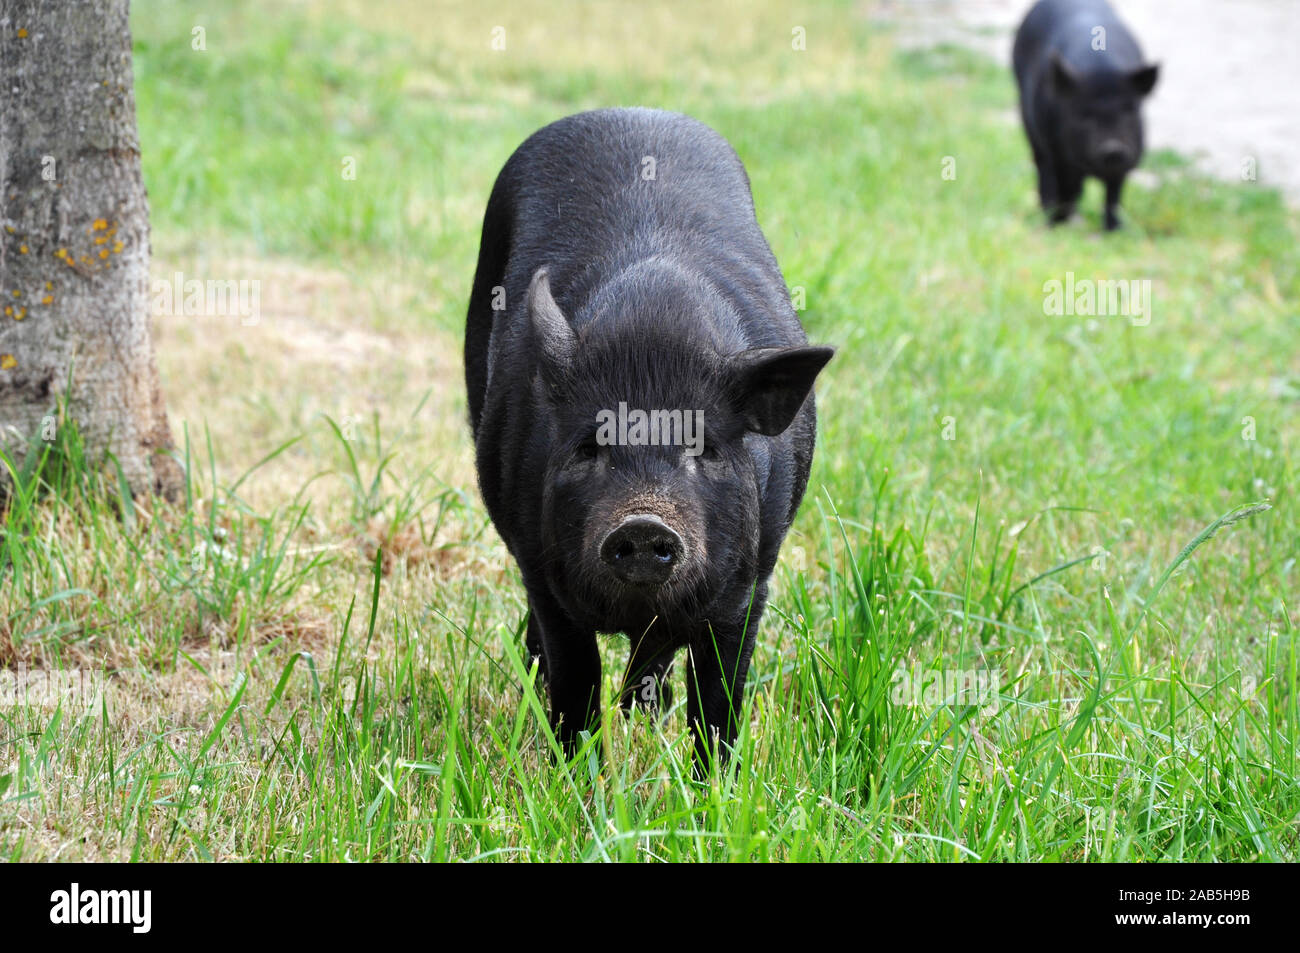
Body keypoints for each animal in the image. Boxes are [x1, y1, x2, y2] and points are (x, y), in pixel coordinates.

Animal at [464, 108, 832, 771]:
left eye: (704, 447)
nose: (641, 523)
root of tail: (630, 111)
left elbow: (718, 699)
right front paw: (573, 779)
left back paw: (644, 708)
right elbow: (576, 682)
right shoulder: (544, 571)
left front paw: (713, 785)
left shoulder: (750, 582)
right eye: (590, 446)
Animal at [1013, 0, 1159, 230]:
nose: (1113, 148)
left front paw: (1114, 230)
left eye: (1130, 109)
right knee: (1042, 166)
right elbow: (1057, 184)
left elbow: (1113, 196)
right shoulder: (1054, 152)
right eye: (1083, 113)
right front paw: (1055, 222)